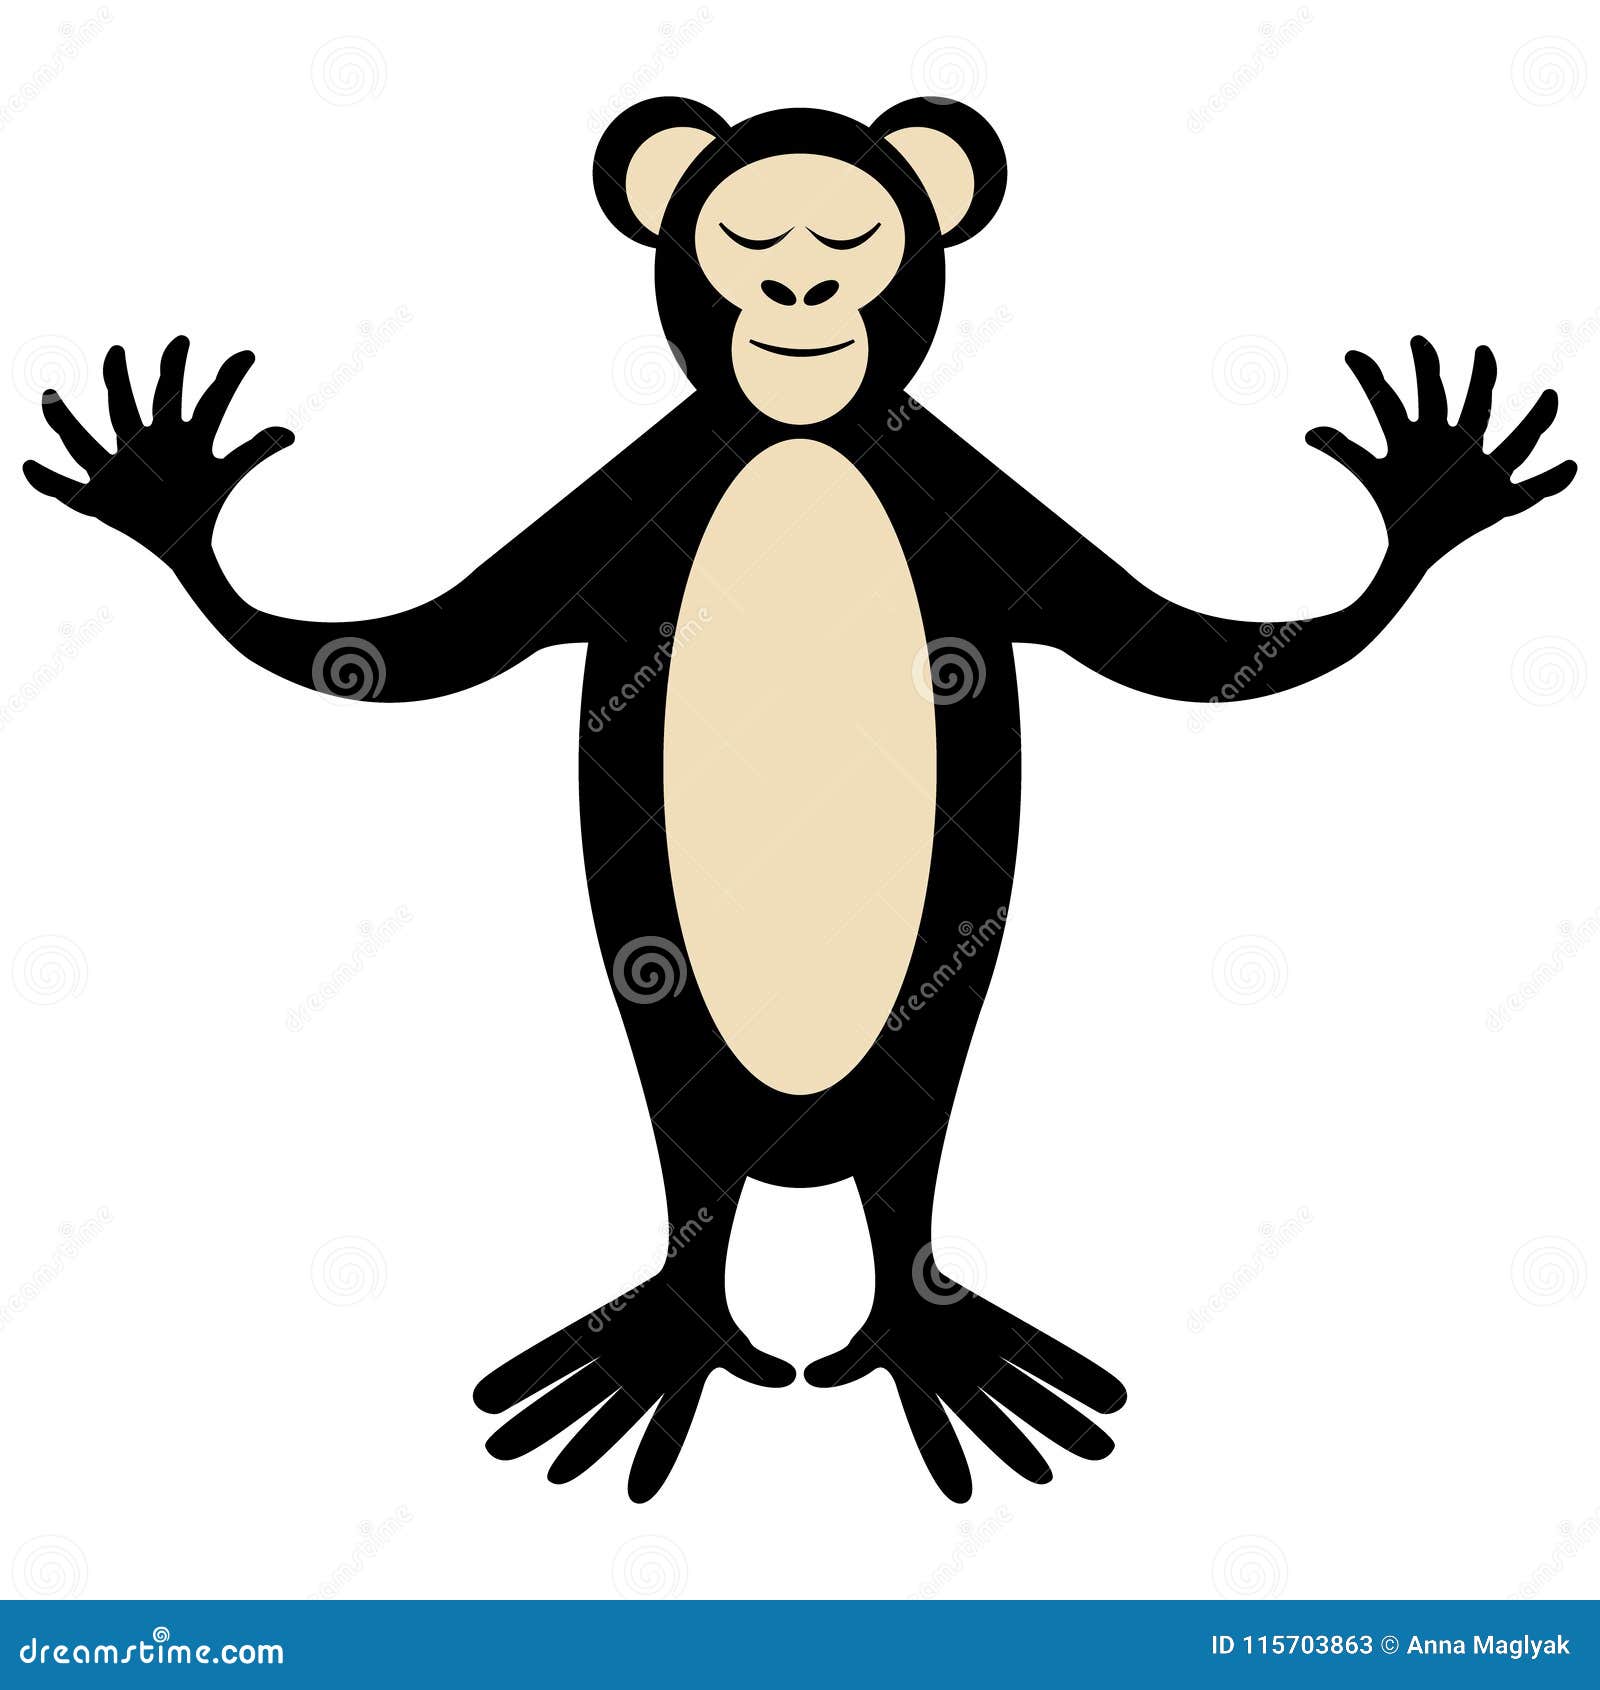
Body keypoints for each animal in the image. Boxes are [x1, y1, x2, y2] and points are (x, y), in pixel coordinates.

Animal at [24, 97, 1576, 1502]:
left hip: (916, 1032)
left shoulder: (973, 510)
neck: (798, 437)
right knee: (699, 1165)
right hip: (678, 1020)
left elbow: (1193, 649)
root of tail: (800, 1163)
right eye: (748, 236)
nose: (799, 288)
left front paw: (1430, 498)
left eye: (849, 235)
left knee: (901, 1157)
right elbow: (402, 650)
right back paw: (673, 1334)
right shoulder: (622, 514)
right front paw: (168, 497)